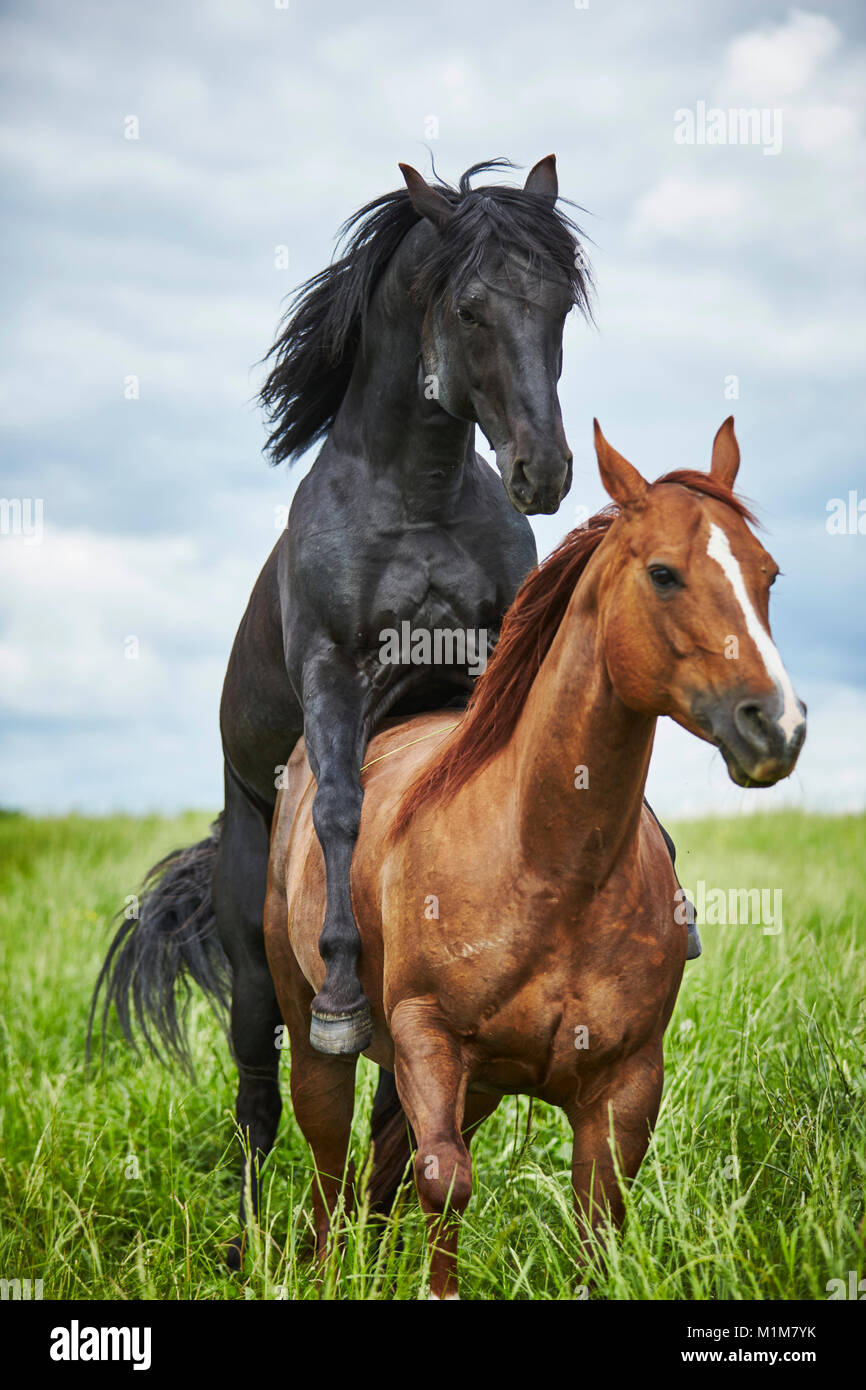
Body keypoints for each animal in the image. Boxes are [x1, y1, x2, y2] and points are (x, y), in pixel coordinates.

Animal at [90, 157, 596, 1266]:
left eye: (559, 308)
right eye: (468, 306)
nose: (543, 472)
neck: (416, 499)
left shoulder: (475, 671)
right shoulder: (332, 671)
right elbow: (338, 812)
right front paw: (339, 999)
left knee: (385, 1110)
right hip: (245, 955)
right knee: (255, 1097)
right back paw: (253, 1244)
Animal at [262, 418, 806, 1299]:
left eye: (767, 576)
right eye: (663, 573)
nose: (777, 726)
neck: (549, 872)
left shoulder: (624, 1086)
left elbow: (596, 1221)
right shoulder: (426, 1040)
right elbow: (445, 1184)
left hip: (477, 1087)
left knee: (379, 1170)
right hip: (320, 1039)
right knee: (330, 1164)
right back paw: (325, 1268)